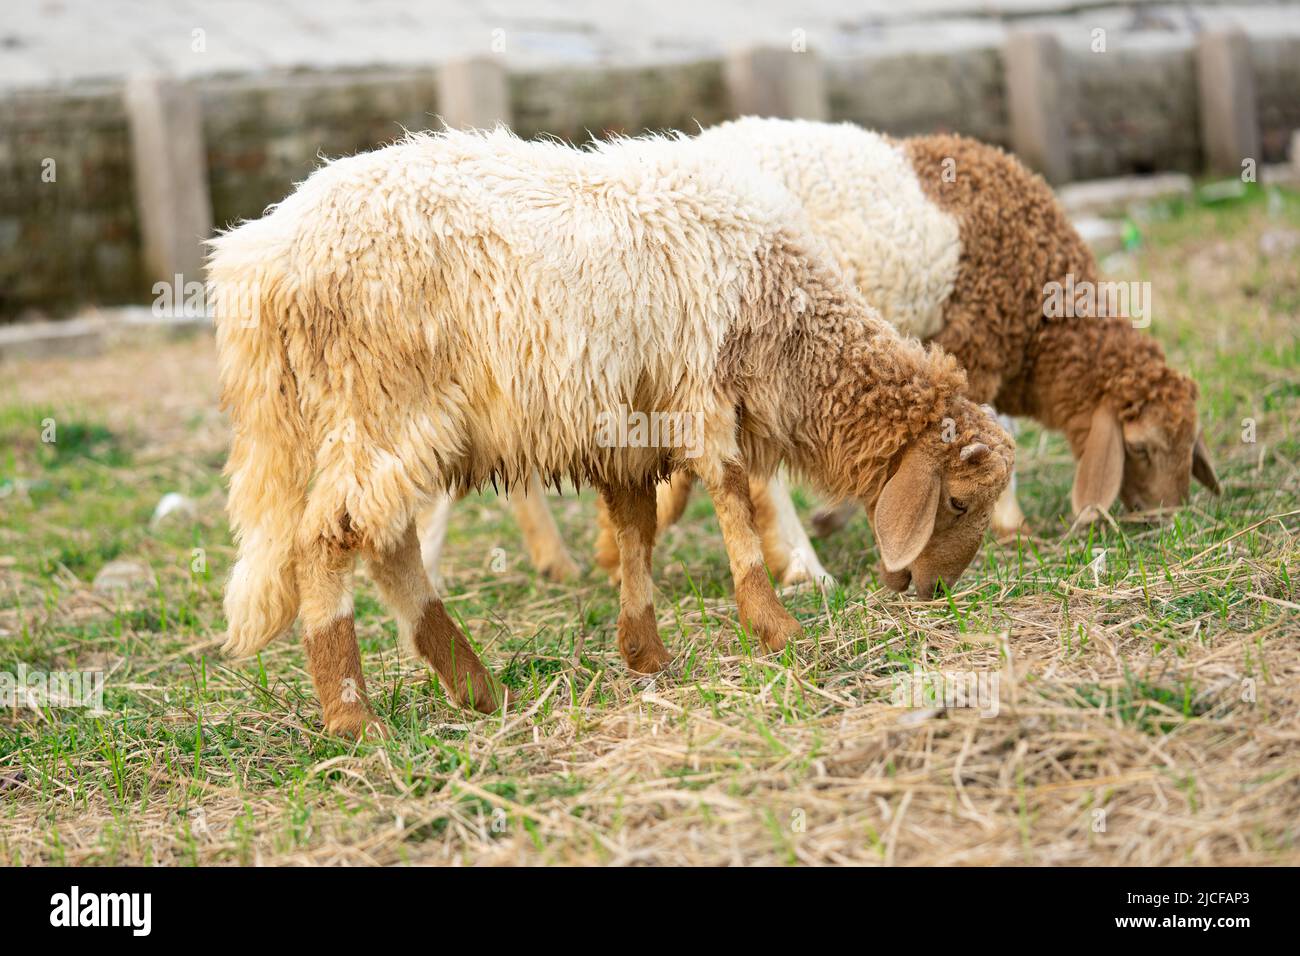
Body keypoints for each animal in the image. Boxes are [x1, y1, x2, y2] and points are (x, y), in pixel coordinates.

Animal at [210, 127, 1013, 736]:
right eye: (958, 502)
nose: (933, 592)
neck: (784, 312)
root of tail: (264, 254)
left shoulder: (630, 420)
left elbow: (635, 527)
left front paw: (646, 651)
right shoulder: (699, 386)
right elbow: (732, 497)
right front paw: (776, 628)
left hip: (385, 421)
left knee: (384, 543)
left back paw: (476, 688)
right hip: (384, 402)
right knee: (330, 540)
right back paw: (355, 719)